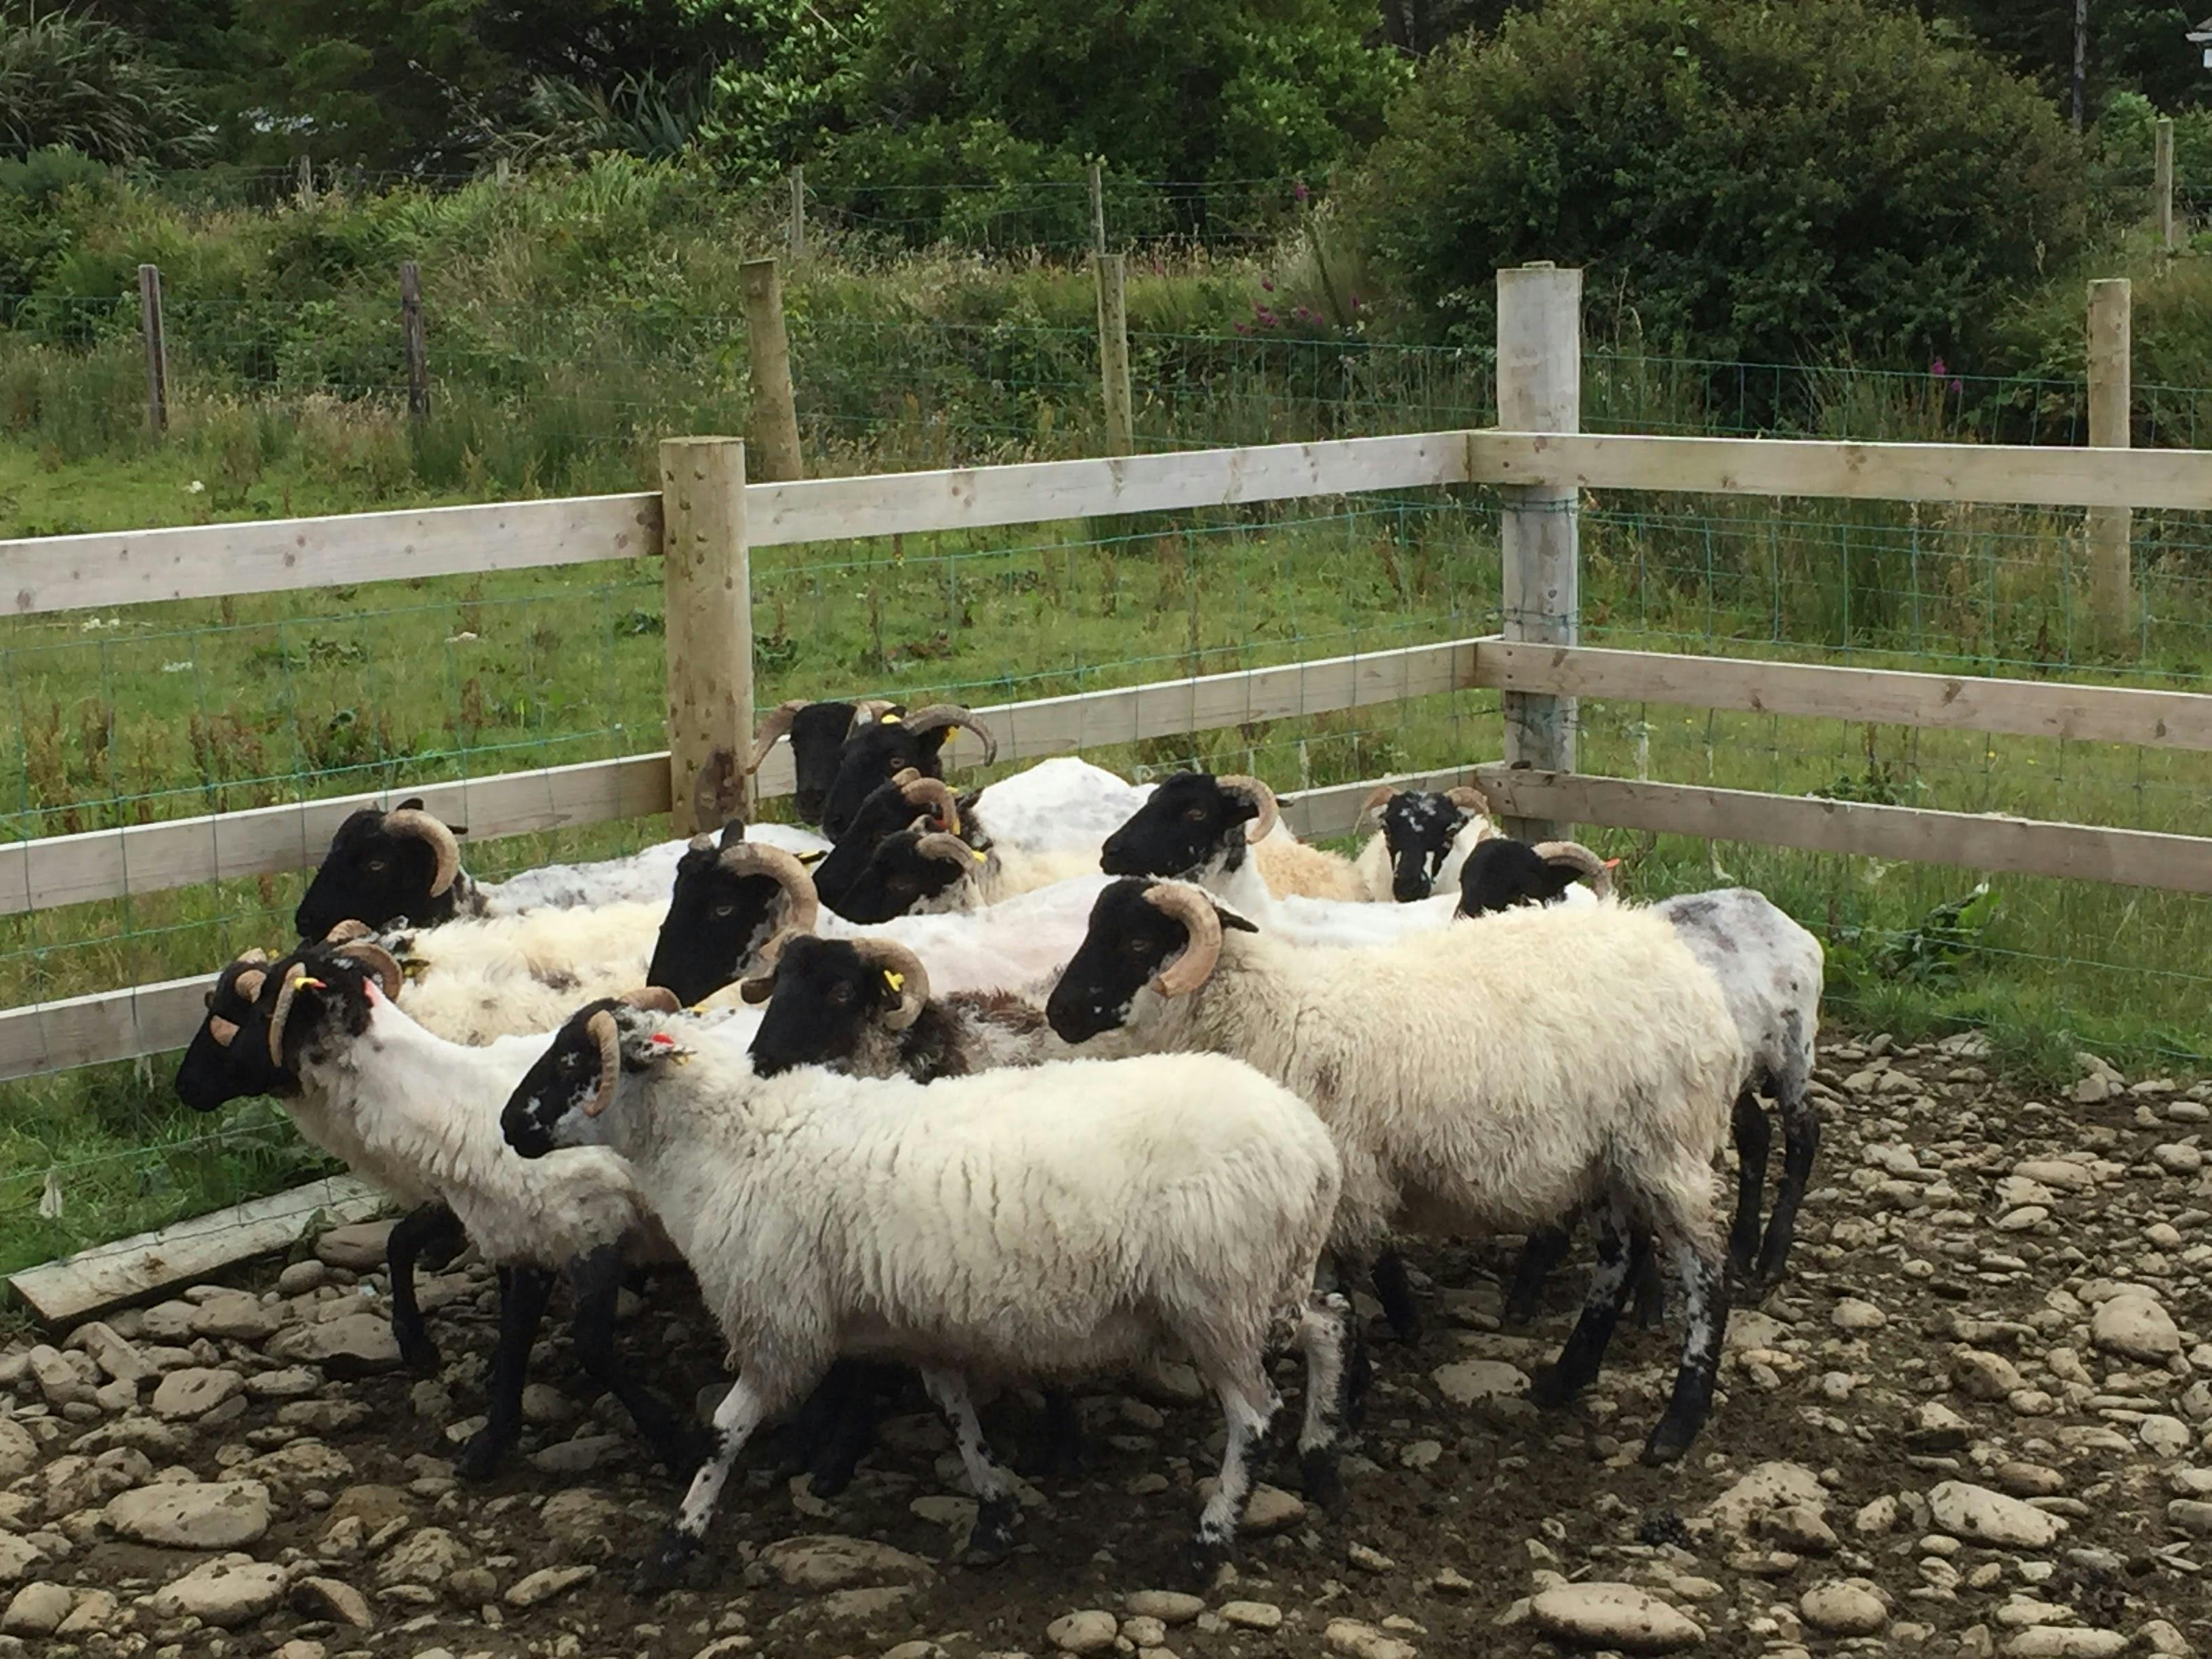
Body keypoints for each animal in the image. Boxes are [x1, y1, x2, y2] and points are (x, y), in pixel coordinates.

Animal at [175, 934, 708, 1480]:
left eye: (259, 1010)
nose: (183, 1088)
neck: (452, 1097)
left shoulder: (592, 1229)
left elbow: (592, 1348)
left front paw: (678, 1445)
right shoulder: (527, 1238)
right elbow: (512, 1336)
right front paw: (487, 1438)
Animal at [499, 994, 1359, 1589]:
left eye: (574, 1063)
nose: (510, 1128)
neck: (729, 1140)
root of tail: (1312, 1143)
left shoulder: (781, 1324)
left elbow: (724, 1433)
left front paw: (674, 1545)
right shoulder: (920, 1323)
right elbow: (955, 1416)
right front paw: (995, 1516)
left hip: (1217, 1297)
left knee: (1253, 1415)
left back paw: (1209, 1540)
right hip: (1267, 1283)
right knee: (1328, 1325)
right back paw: (1321, 1454)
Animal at [1043, 877, 1746, 1464]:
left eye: (1137, 940)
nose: (1059, 1013)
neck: (1275, 1016)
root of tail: (1682, 962)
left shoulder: (1347, 1184)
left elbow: (1346, 1293)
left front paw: (1347, 1402)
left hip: (1666, 1143)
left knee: (1707, 1272)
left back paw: (1677, 1426)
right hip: (1607, 1156)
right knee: (1619, 1258)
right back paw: (1564, 1380)